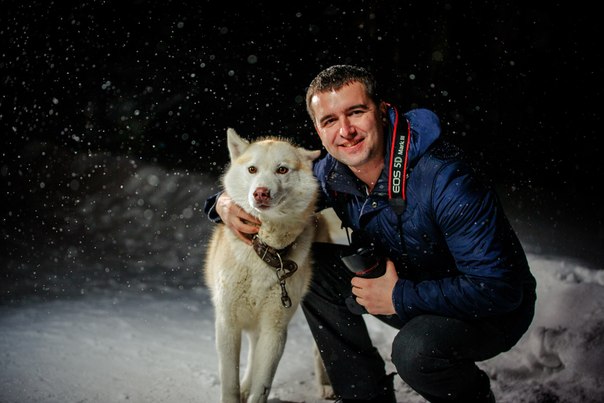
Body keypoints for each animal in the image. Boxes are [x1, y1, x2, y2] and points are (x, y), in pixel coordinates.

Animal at [205, 128, 331, 403]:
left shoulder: (276, 328)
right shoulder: (227, 324)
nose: (260, 192)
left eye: (282, 170)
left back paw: (326, 386)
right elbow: (229, 383)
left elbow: (262, 384)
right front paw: (238, 392)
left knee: (318, 349)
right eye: (252, 169)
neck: (265, 250)